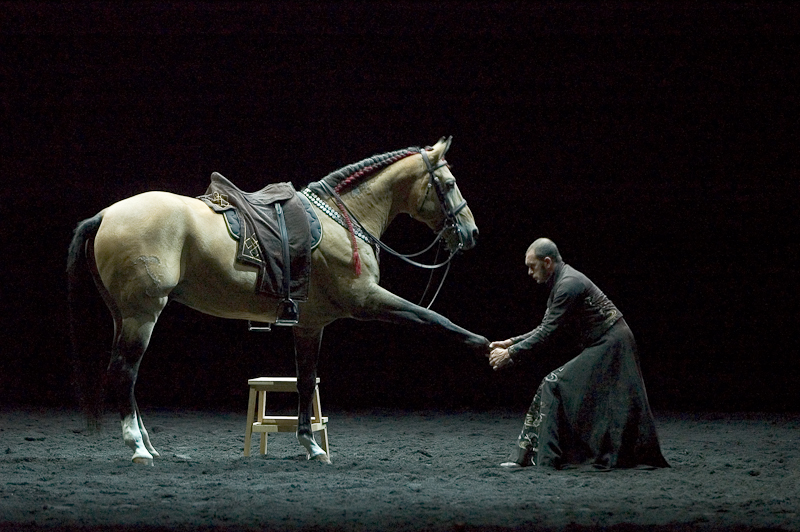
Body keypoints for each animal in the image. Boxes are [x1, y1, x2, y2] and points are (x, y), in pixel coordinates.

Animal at [67, 136, 489, 465]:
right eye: (449, 183)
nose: (471, 232)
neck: (342, 220)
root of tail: (106, 214)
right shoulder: (366, 300)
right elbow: (432, 318)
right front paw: (484, 345)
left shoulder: (309, 324)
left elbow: (304, 381)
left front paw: (311, 445)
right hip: (142, 315)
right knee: (124, 372)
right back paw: (137, 447)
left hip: (124, 316)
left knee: (125, 372)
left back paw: (147, 444)